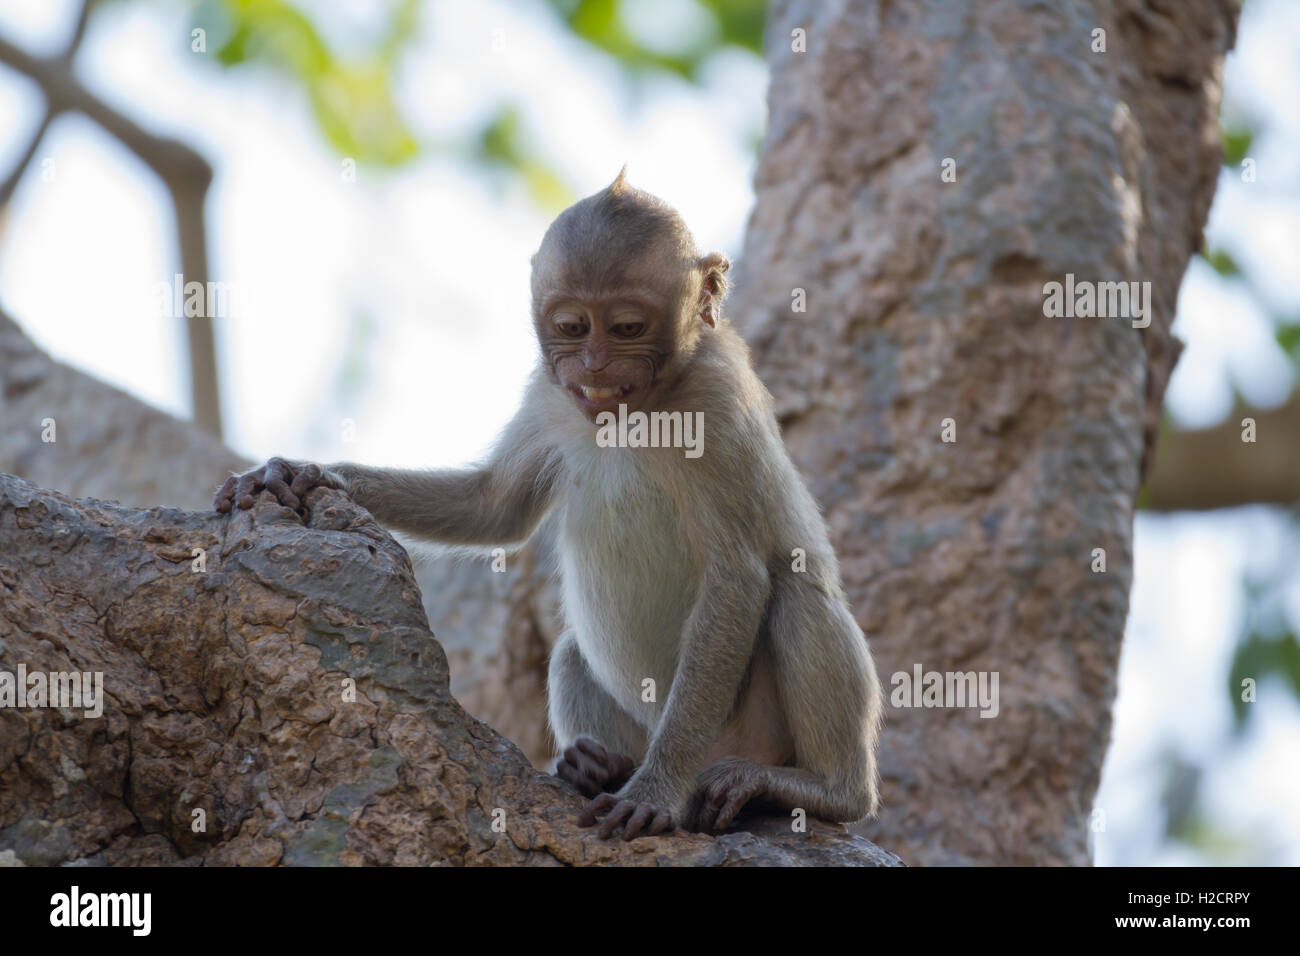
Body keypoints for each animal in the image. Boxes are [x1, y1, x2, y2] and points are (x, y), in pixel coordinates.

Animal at [214, 170, 883, 840]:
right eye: (572, 327)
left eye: (627, 328)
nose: (594, 365)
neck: (638, 412)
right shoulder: (549, 390)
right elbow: (494, 506)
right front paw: (305, 475)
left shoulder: (715, 401)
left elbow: (737, 577)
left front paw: (657, 791)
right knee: (570, 652)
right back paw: (600, 766)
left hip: (748, 732)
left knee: (795, 596)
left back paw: (818, 788)